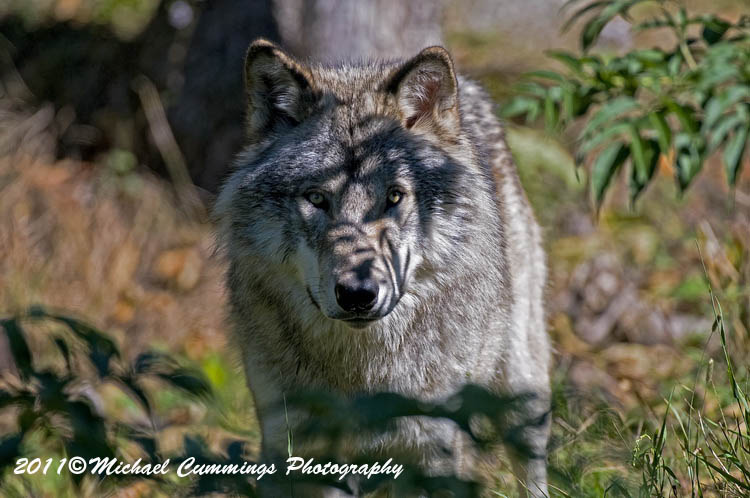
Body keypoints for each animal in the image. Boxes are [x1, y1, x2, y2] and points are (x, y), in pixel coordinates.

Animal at [215, 39, 551, 497]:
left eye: (393, 196)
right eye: (316, 198)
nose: (358, 294)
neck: (362, 371)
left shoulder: (432, 448)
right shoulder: (303, 450)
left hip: (521, 387)